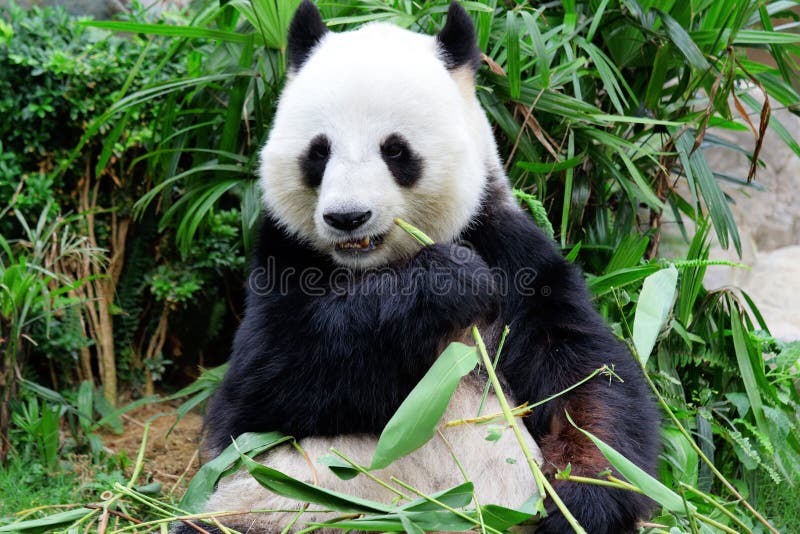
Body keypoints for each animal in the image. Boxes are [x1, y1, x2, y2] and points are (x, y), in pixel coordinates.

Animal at [175, 2, 660, 533]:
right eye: (318, 151)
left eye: (395, 149)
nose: (347, 217)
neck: (376, 265)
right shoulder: (284, 253)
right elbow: (264, 381)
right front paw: (451, 280)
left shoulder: (506, 246)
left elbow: (584, 375)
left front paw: (581, 499)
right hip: (270, 505)